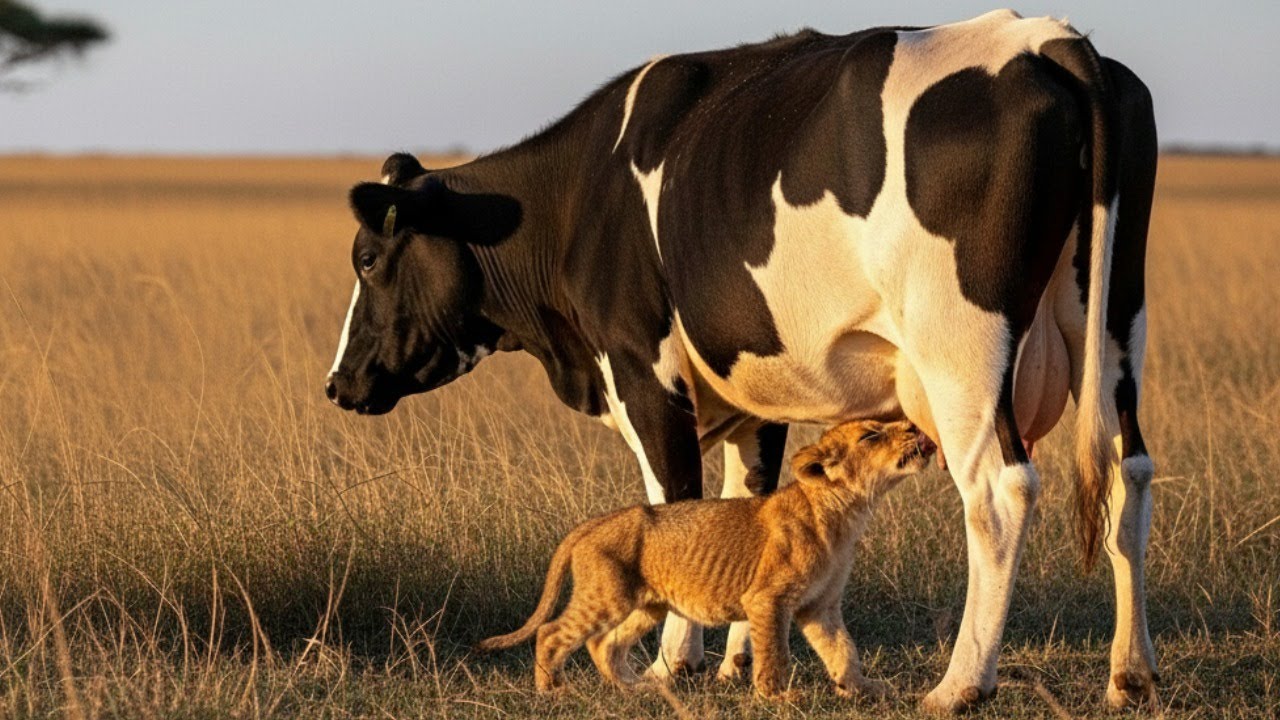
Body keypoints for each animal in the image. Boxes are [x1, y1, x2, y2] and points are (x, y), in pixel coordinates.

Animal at [476, 419, 935, 699]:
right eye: (871, 436)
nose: (914, 427)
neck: (848, 514)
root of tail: (595, 522)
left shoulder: (820, 607)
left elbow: (843, 650)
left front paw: (863, 689)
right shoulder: (767, 599)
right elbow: (774, 652)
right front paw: (777, 696)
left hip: (648, 603)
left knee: (604, 642)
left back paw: (636, 688)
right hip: (606, 595)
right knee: (552, 632)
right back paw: (552, 689)